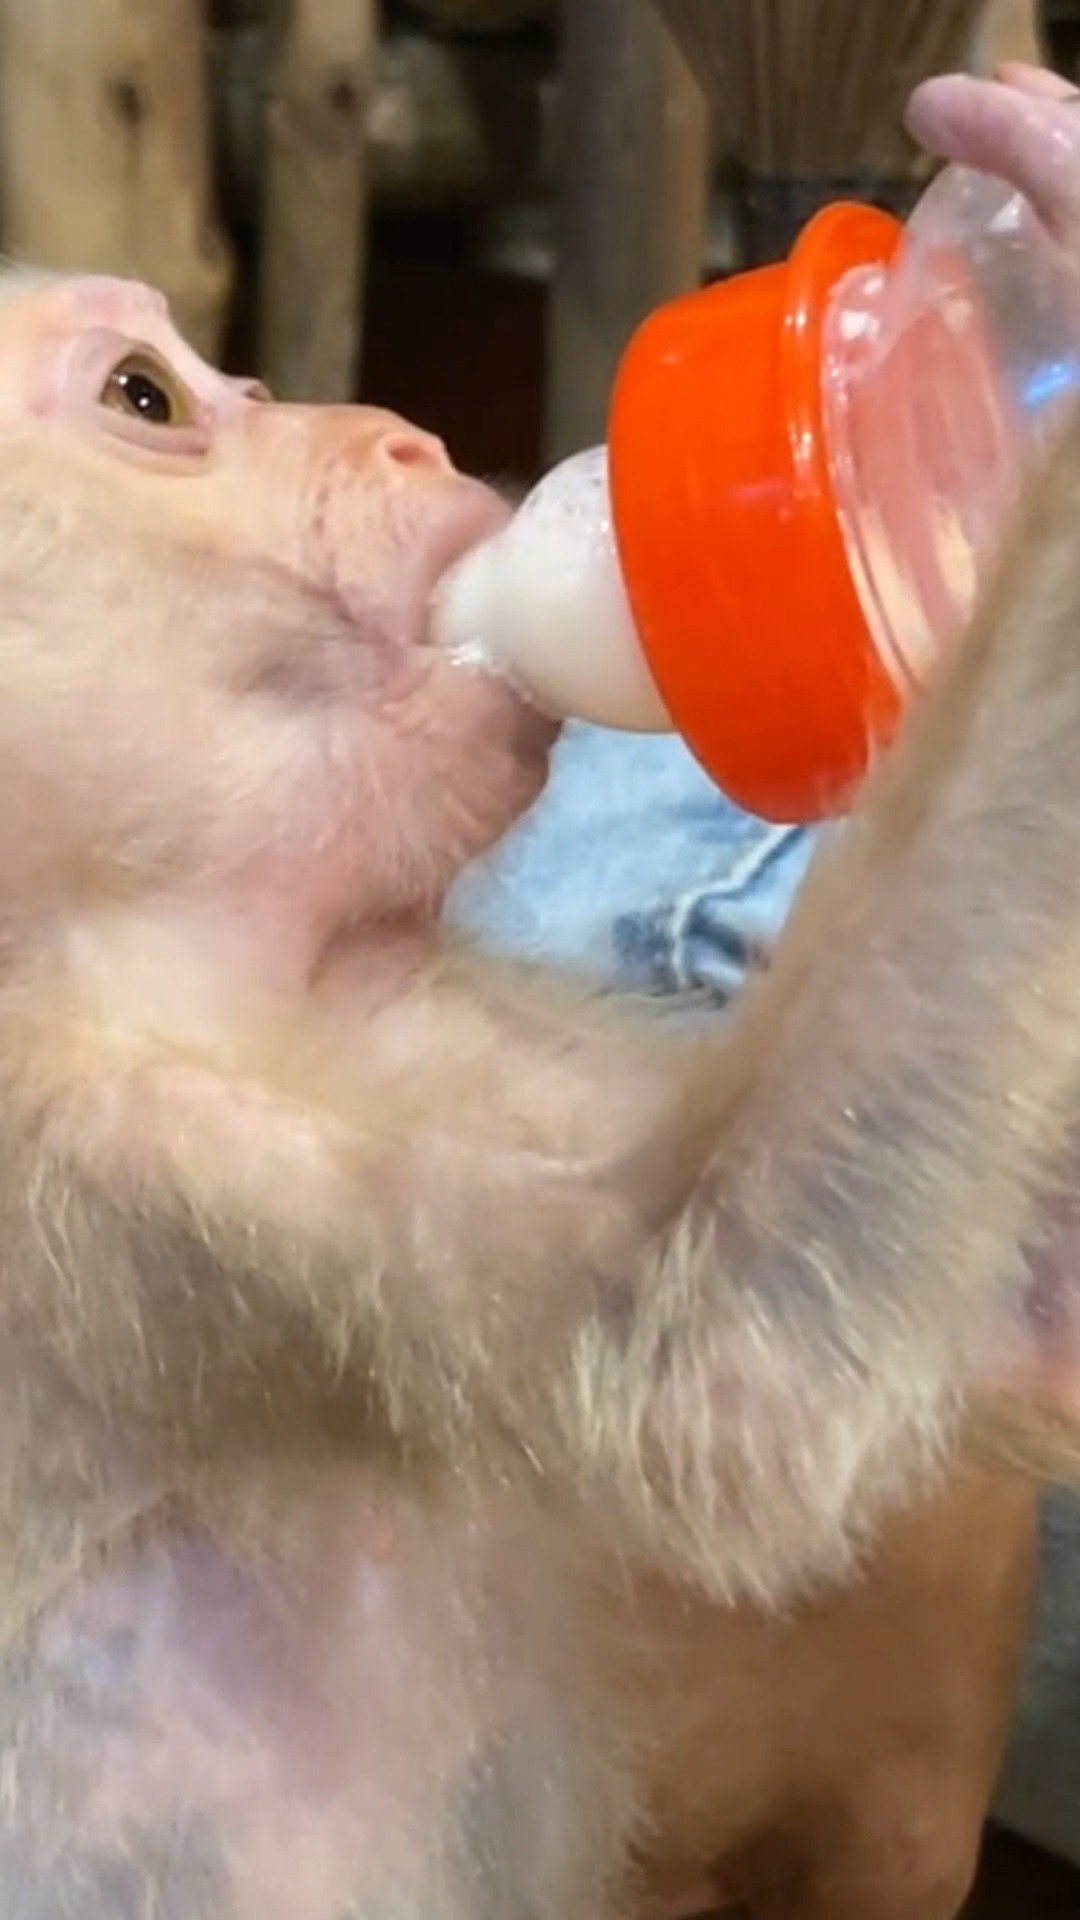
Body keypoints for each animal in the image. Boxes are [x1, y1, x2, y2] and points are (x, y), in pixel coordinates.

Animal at [0, 61, 1074, 1920]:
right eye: (151, 396)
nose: (408, 434)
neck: (162, 970)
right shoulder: (85, 1165)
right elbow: (720, 1355)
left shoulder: (413, 1016)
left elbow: (1012, 1311)